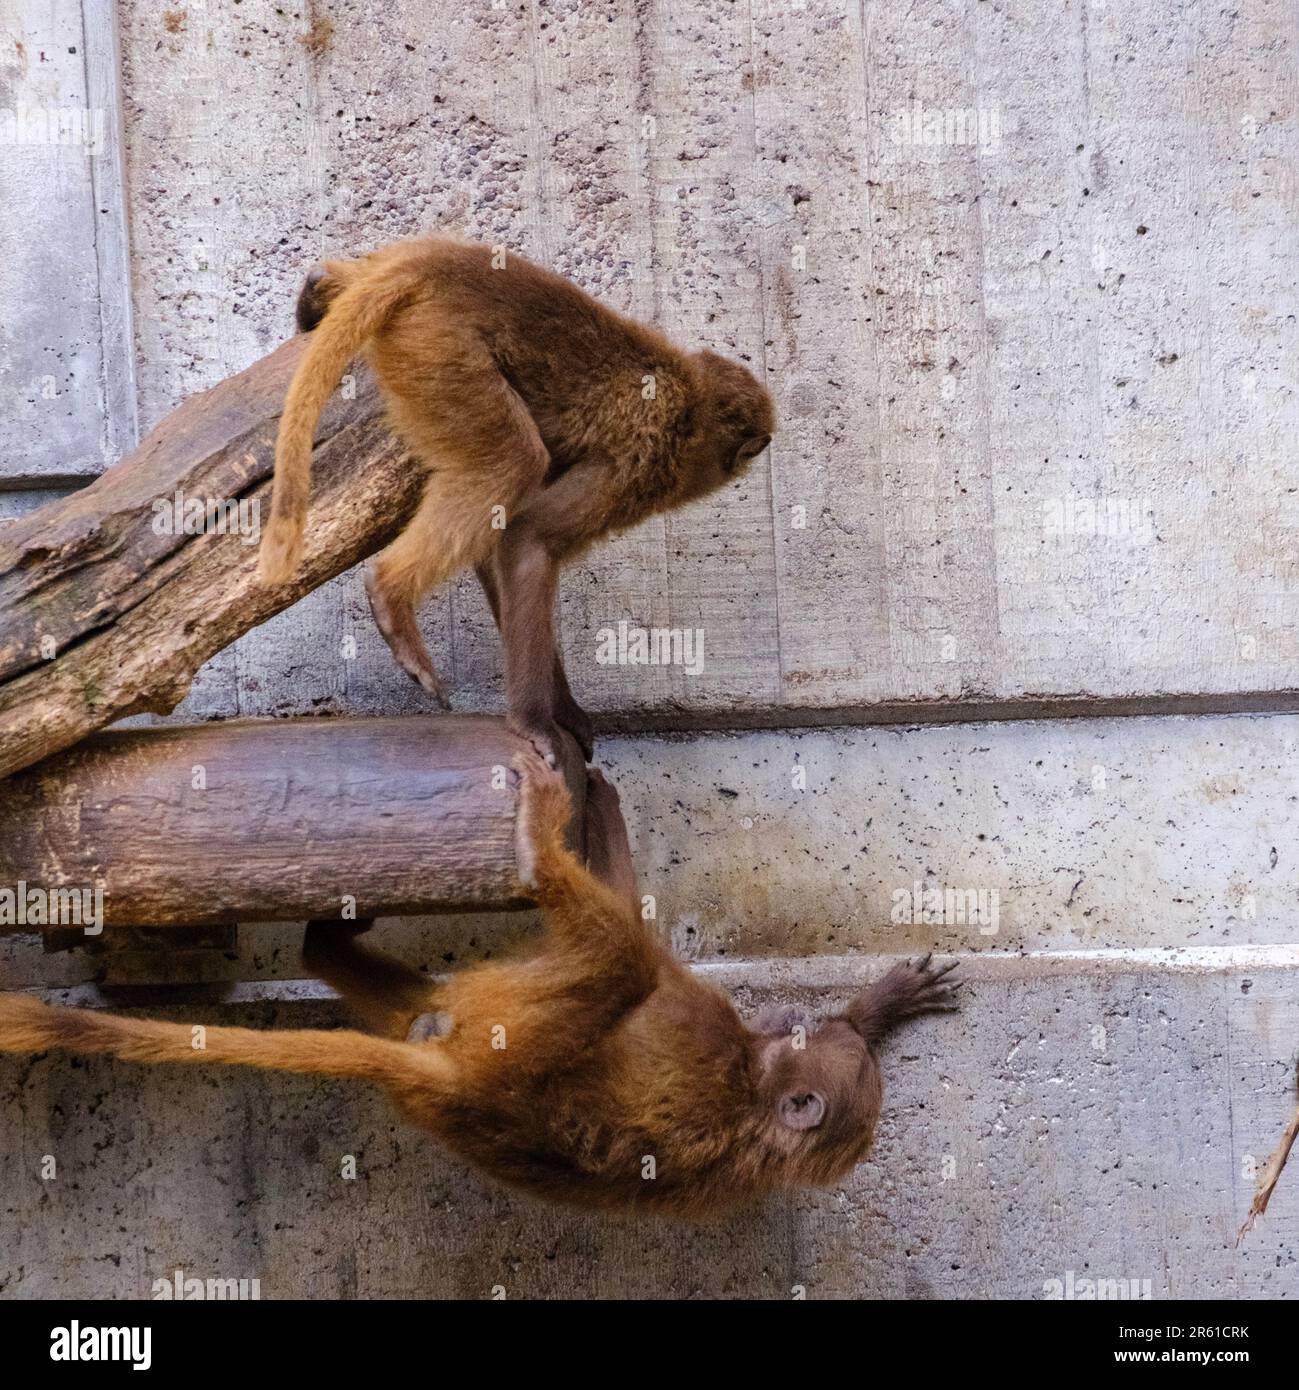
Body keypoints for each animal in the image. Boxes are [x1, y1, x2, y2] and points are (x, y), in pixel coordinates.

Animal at [0, 756, 960, 1219]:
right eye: (795, 1028)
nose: (783, 1017)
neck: (755, 1105)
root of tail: (450, 1082)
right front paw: (878, 1007)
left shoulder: (701, 1038)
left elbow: (642, 952)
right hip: (462, 1023)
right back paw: (330, 937)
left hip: (498, 1044)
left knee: (623, 961)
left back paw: (533, 846)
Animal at [257, 237, 776, 762]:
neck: (691, 404)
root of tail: (429, 264)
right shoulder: (637, 466)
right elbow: (527, 539)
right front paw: (537, 722)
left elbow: (498, 549)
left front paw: (565, 711)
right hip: (439, 346)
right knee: (516, 460)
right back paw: (389, 593)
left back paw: (318, 289)